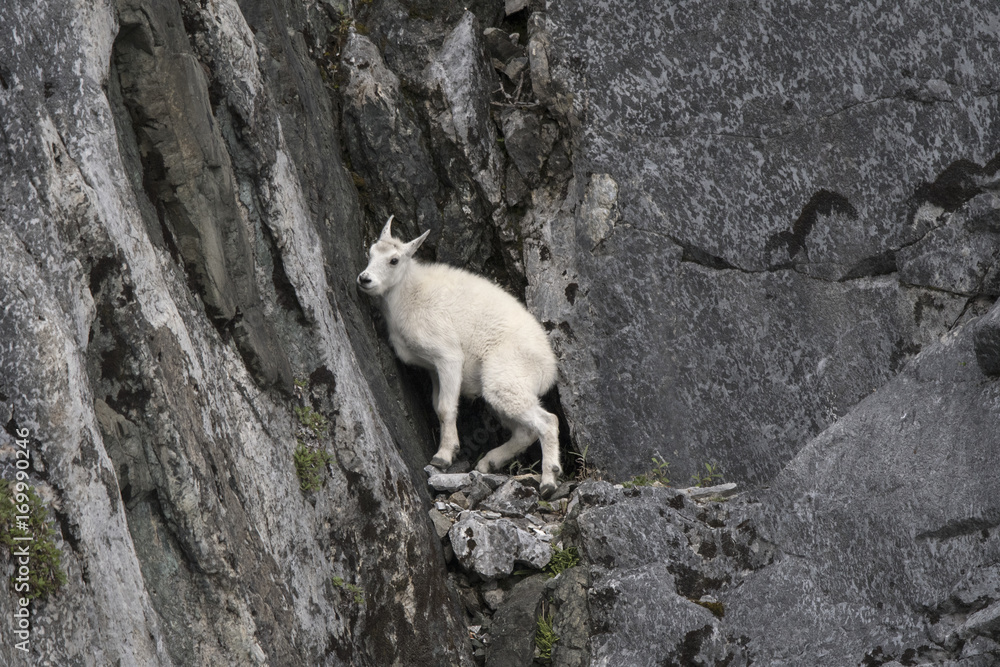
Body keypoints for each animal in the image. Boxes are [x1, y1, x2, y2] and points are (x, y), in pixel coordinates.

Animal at [357, 216, 562, 495]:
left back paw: (549, 480)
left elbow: (445, 407)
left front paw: (443, 456)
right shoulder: (433, 368)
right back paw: (489, 462)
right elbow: (437, 404)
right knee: (524, 431)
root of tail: (549, 369)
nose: (364, 279)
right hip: (504, 388)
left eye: (394, 260)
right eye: (370, 253)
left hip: (505, 379)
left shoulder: (448, 356)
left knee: (547, 422)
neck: (409, 294)